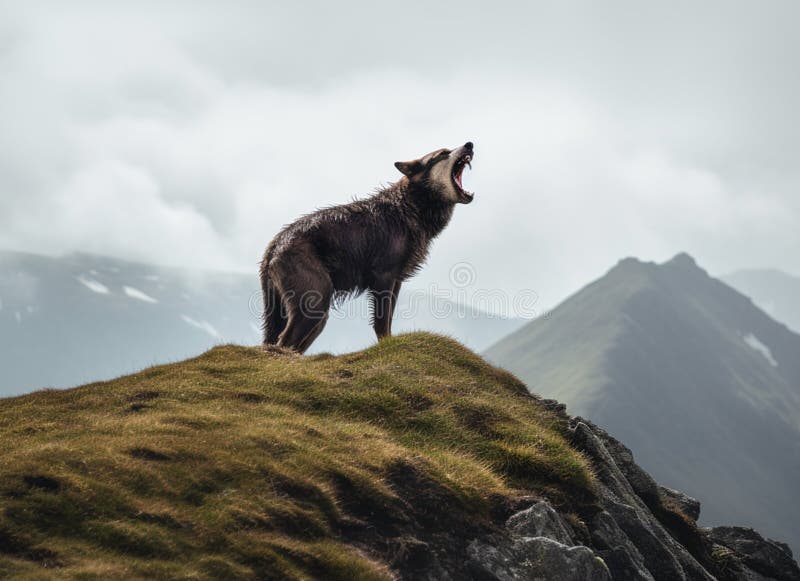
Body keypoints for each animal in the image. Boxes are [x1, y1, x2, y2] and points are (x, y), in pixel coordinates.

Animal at [260, 141, 475, 353]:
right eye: (443, 153)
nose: (470, 144)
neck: (409, 207)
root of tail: (273, 247)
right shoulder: (383, 278)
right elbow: (381, 323)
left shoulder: (396, 281)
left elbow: (388, 321)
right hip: (315, 304)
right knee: (282, 342)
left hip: (313, 318)